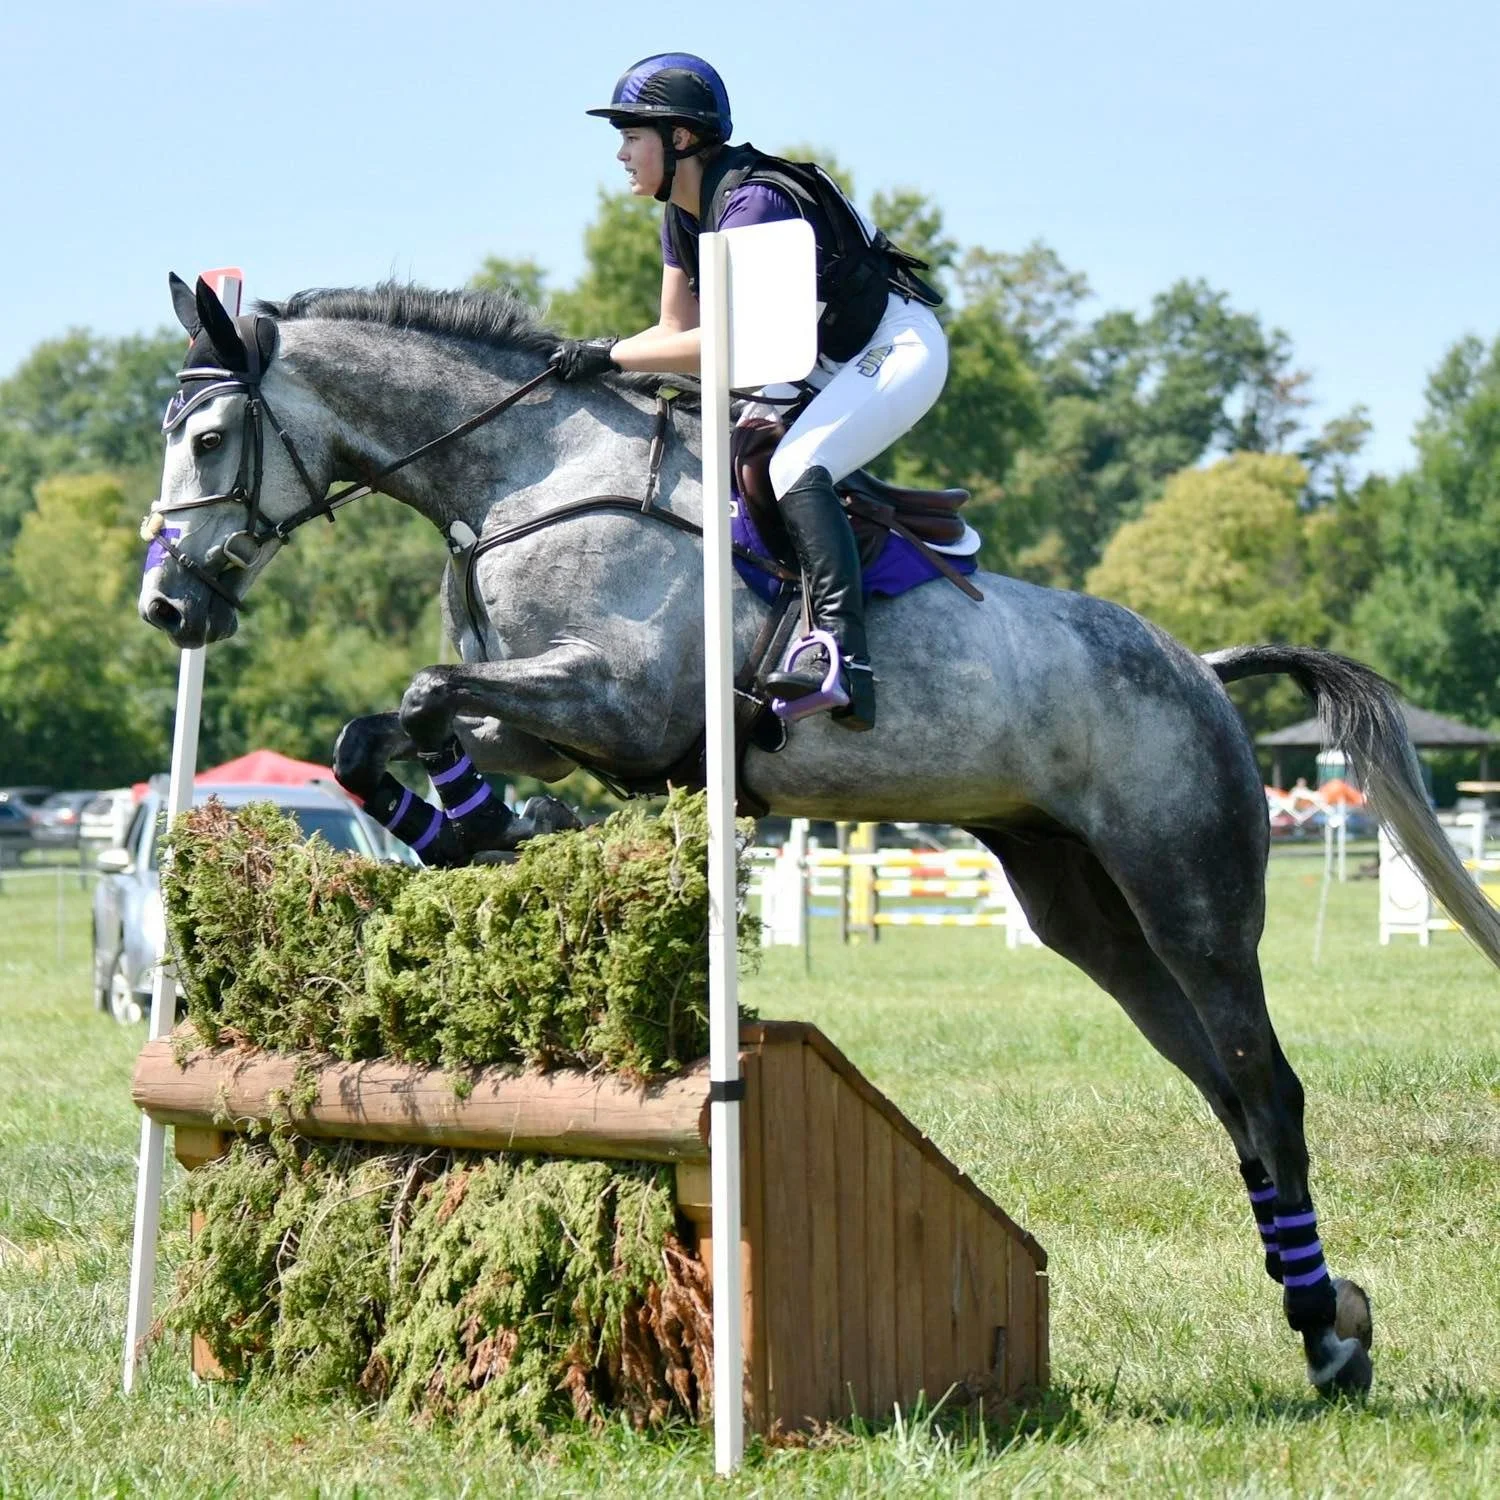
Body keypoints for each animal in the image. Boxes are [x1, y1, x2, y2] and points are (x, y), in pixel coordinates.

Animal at [142, 273, 1500, 1402]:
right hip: (1086, 912)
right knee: (1223, 1090)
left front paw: (493, 840)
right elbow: (375, 736)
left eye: (208, 440)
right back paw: (1325, 1308)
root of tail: (1204, 672)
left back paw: (1328, 1343)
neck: (529, 481)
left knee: (1265, 1086)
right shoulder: (550, 719)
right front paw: (484, 837)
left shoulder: (616, 701)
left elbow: (423, 701)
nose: (167, 606)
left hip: (1190, 897)